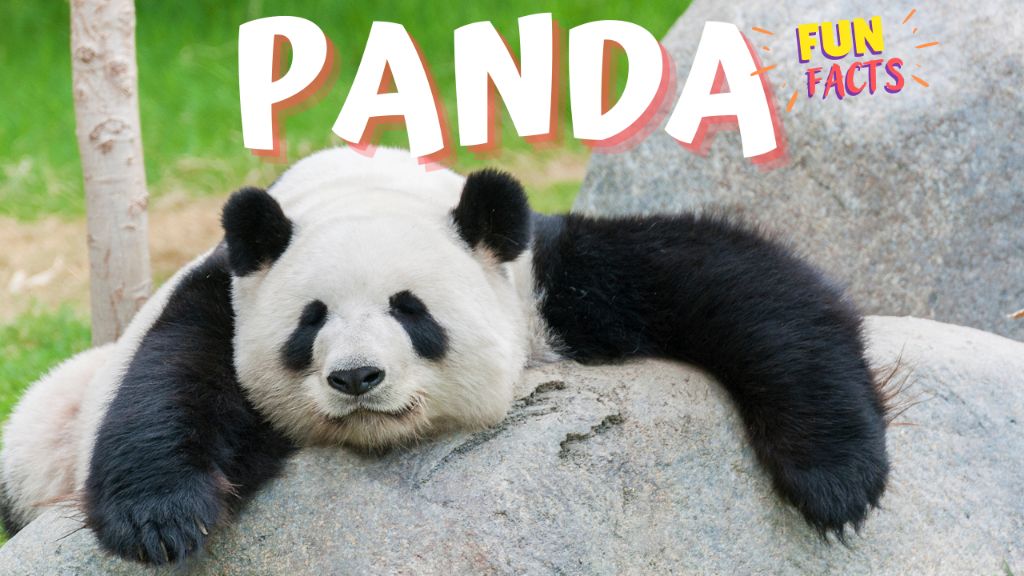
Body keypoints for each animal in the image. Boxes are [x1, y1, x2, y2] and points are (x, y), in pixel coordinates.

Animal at [0, 147, 889, 565]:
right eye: (311, 322)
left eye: (411, 310)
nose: (357, 377)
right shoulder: (222, 292)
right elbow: (171, 379)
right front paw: (161, 519)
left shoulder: (541, 277)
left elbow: (732, 282)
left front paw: (837, 477)